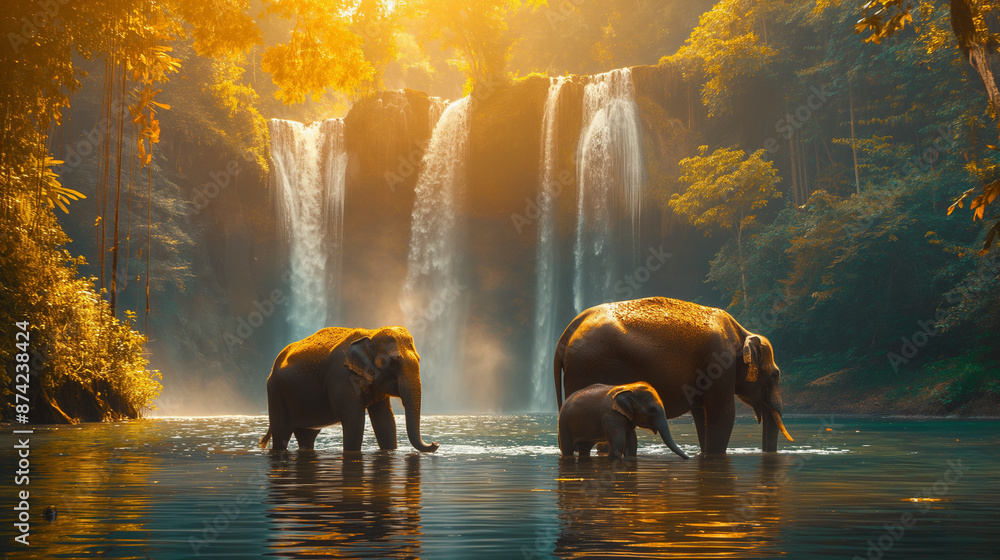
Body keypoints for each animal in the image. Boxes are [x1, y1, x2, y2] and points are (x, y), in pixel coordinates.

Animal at [259, 326, 439, 453]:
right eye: (393, 363)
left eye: (419, 360)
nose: (435, 443)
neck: (370, 333)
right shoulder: (342, 379)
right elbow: (354, 419)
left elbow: (385, 420)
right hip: (275, 391)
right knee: (281, 432)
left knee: (306, 436)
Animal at [558, 382, 689, 460]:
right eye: (652, 410)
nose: (689, 458)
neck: (628, 388)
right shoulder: (611, 415)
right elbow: (619, 441)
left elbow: (632, 441)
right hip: (564, 423)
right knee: (567, 448)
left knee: (584, 448)